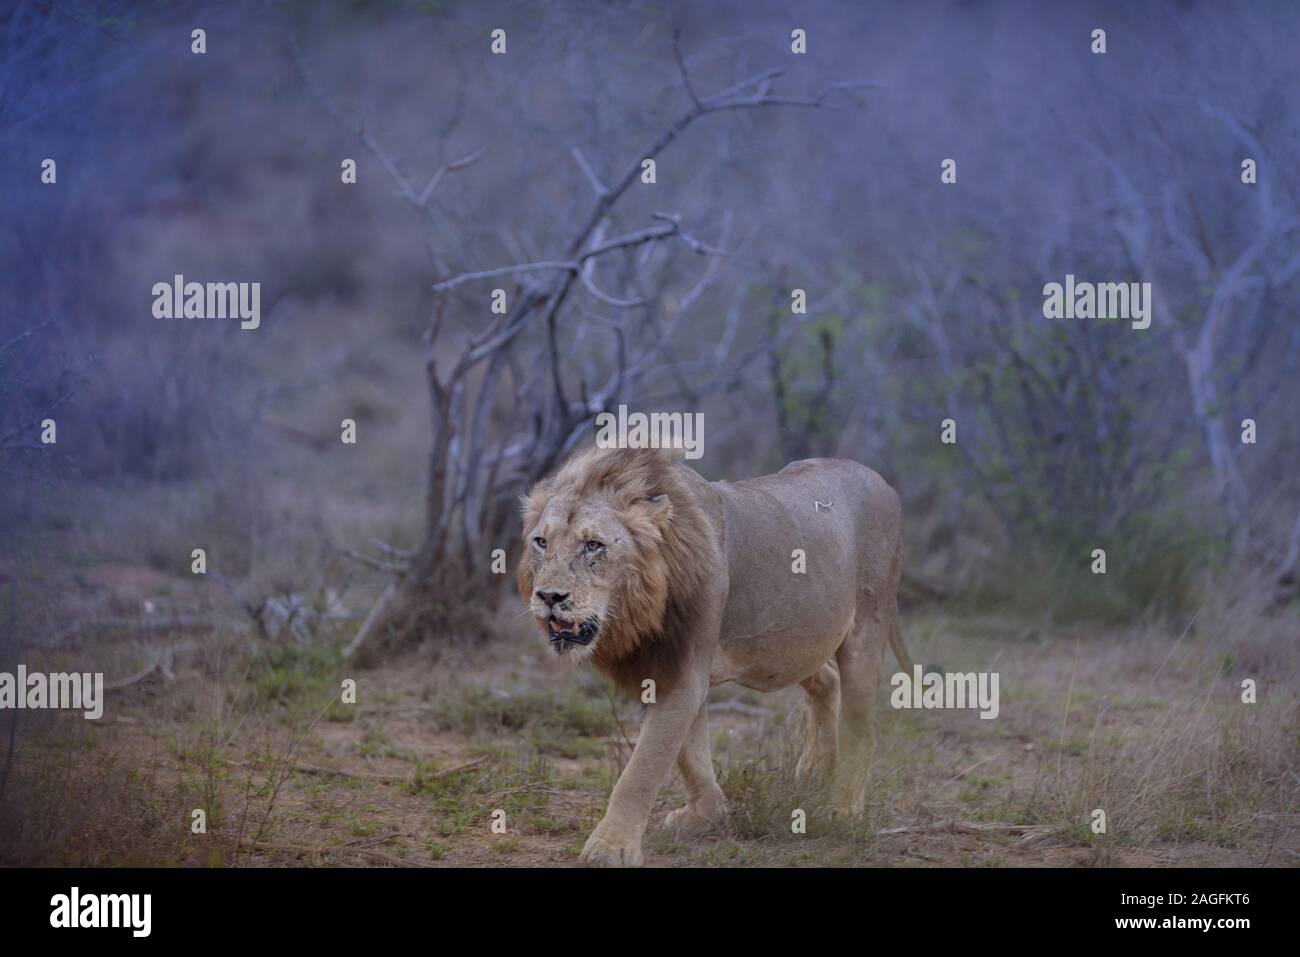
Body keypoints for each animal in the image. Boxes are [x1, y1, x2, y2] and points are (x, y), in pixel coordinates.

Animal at [517, 445, 910, 867]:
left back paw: (844, 808)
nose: (549, 597)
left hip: (866, 628)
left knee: (862, 727)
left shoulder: (686, 671)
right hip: (796, 642)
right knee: (826, 680)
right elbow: (689, 755)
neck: (638, 610)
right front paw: (708, 814)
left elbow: (643, 768)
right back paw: (814, 771)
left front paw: (612, 846)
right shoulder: (664, 670)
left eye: (594, 545)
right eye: (541, 542)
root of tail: (885, 484)